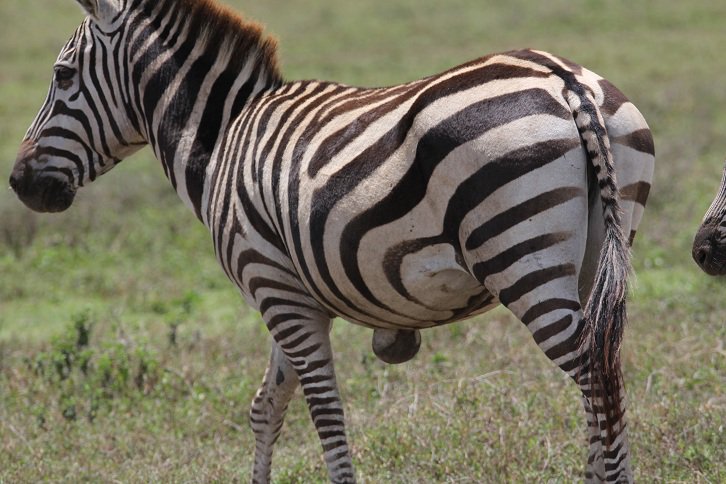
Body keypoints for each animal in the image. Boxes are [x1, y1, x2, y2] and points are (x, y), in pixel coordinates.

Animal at [8, 0, 655, 482]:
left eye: (62, 75)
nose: (19, 183)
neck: (221, 142)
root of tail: (565, 81)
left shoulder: (274, 287)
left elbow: (324, 412)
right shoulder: (290, 293)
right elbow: (266, 408)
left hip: (521, 257)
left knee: (596, 377)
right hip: (595, 255)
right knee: (604, 382)